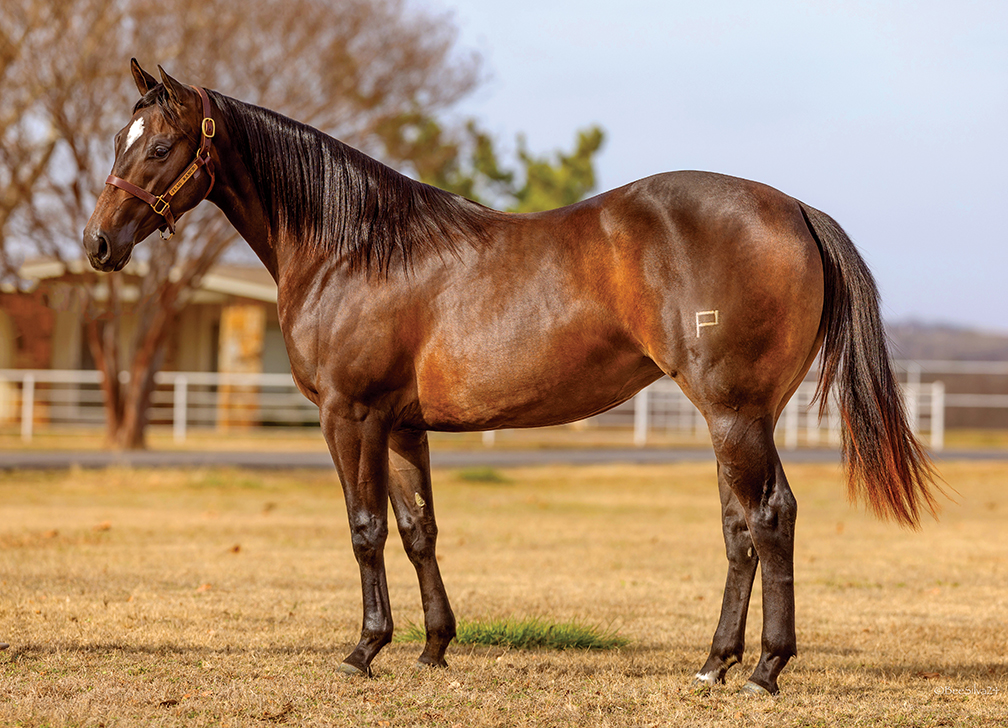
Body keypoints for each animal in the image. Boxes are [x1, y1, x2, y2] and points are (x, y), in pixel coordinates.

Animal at [83, 60, 938, 695]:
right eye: (121, 137)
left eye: (159, 146)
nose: (97, 244)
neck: (351, 247)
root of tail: (793, 208)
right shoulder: (400, 423)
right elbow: (418, 528)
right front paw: (432, 647)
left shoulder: (349, 414)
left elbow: (364, 530)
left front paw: (364, 650)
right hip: (733, 417)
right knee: (739, 528)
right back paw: (714, 663)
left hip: (736, 413)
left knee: (769, 517)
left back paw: (764, 669)